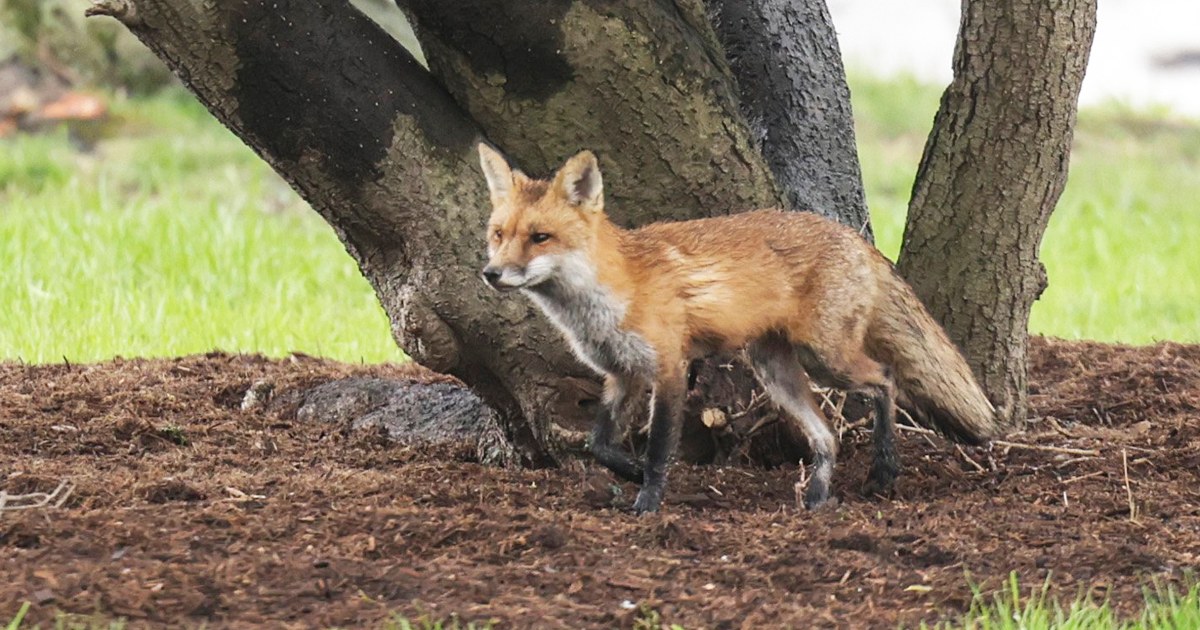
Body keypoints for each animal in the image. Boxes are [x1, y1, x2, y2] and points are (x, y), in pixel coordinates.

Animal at [477, 143, 1002, 514]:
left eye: (540, 237)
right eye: (498, 235)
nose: (491, 274)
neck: (607, 293)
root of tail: (855, 238)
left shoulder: (669, 368)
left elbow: (660, 446)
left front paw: (647, 502)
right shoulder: (621, 373)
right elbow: (599, 443)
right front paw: (628, 472)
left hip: (826, 359)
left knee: (885, 380)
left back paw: (884, 471)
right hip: (776, 371)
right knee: (827, 437)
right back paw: (817, 499)